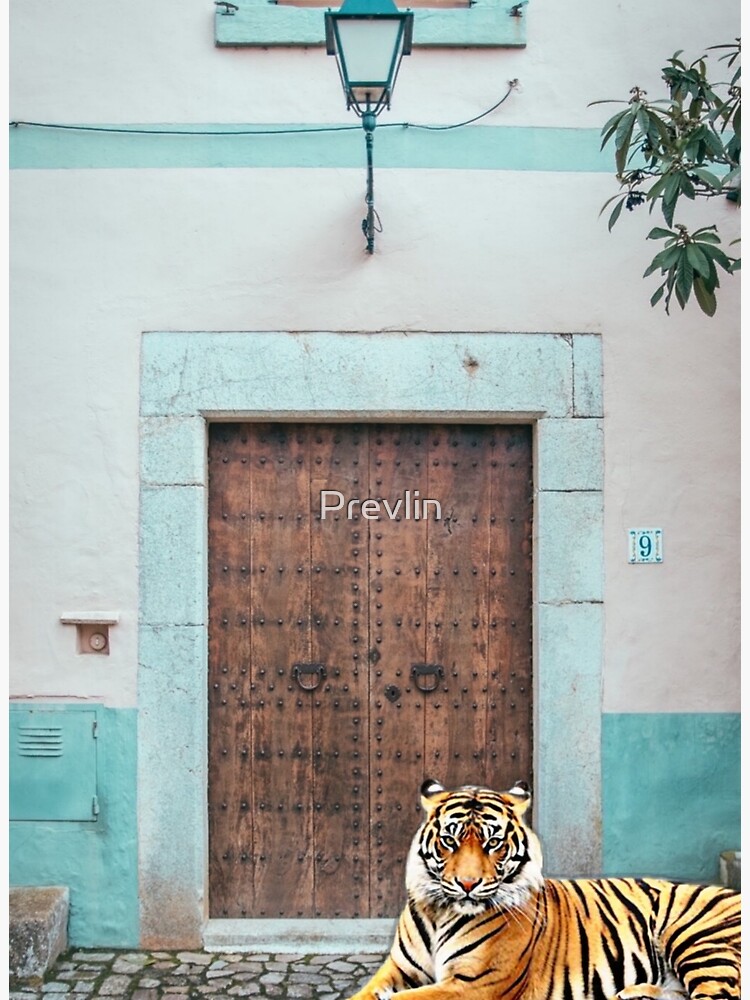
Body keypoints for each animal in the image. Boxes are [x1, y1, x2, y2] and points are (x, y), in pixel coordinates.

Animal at [346, 779, 741, 1000]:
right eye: (449, 840)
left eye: (492, 843)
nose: (468, 885)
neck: (440, 911)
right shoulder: (397, 970)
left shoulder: (475, 984)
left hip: (699, 941)